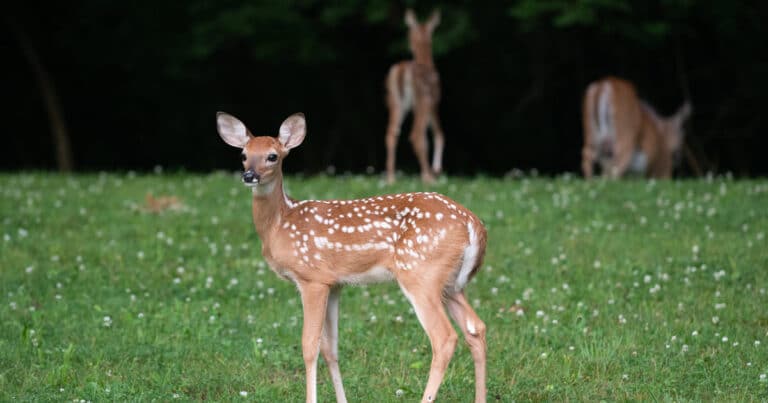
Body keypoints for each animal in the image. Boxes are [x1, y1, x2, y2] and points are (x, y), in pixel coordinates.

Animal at [216, 112, 488, 403]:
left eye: (272, 156)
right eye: (244, 155)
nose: (249, 175)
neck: (280, 223)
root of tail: (474, 224)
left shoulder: (312, 279)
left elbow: (309, 345)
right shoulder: (335, 283)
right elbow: (330, 348)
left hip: (420, 273)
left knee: (445, 337)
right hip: (451, 283)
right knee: (476, 328)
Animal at [385, 9, 445, 184]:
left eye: (408, 33)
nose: (409, 44)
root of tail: (401, 70)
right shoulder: (435, 100)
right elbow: (439, 133)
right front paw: (437, 169)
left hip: (395, 101)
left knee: (391, 133)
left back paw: (391, 177)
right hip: (422, 99)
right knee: (416, 135)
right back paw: (428, 176)